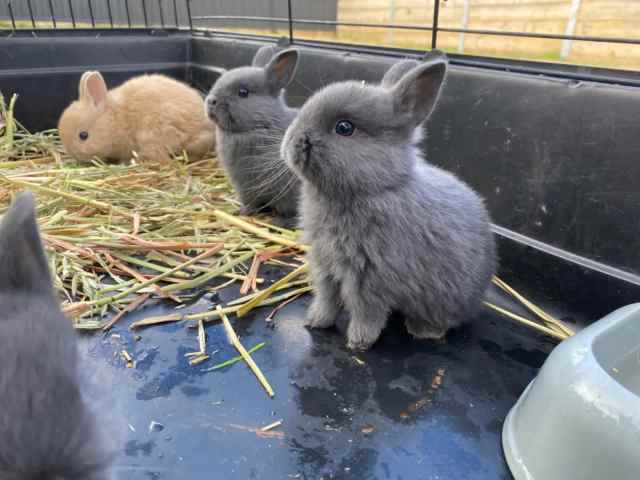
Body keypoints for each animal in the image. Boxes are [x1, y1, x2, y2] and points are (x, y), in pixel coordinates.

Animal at [205, 47, 301, 220]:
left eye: (243, 92)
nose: (211, 101)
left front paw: (281, 221)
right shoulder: (245, 189)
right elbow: (252, 204)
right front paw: (241, 212)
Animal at [282, 57, 497, 351]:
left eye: (344, 128)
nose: (292, 142)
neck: (373, 187)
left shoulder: (371, 279)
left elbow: (366, 313)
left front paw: (358, 343)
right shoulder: (325, 266)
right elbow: (327, 299)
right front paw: (315, 321)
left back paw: (422, 330)